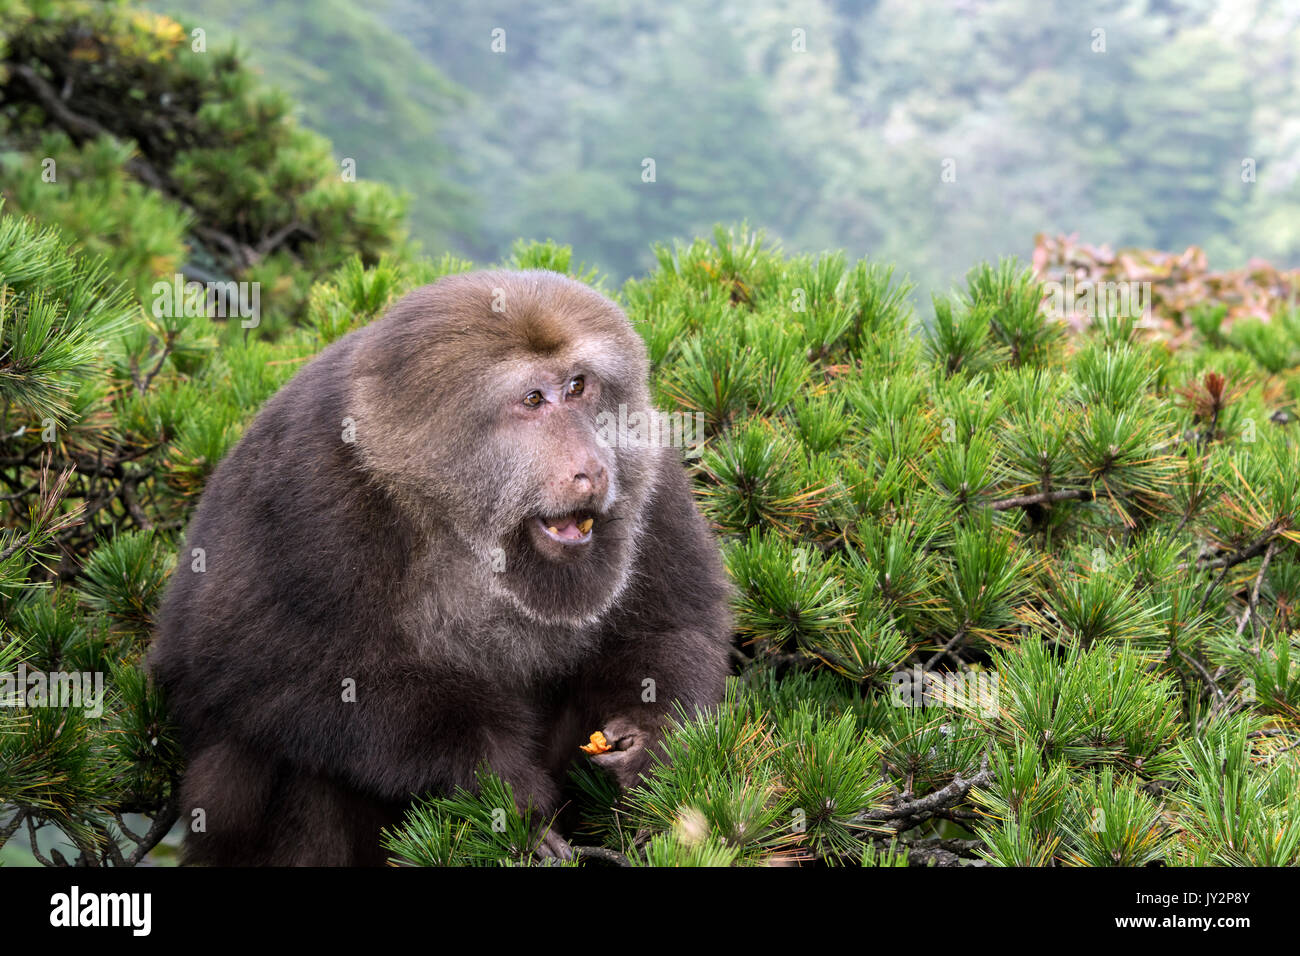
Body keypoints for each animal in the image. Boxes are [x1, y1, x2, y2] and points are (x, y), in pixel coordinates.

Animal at [147, 269, 733, 865]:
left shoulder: (651, 471)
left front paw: (647, 738)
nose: (591, 469)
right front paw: (498, 777)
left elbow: (674, 625)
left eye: (578, 387)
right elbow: (243, 670)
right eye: (532, 399)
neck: (453, 519)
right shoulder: (305, 484)